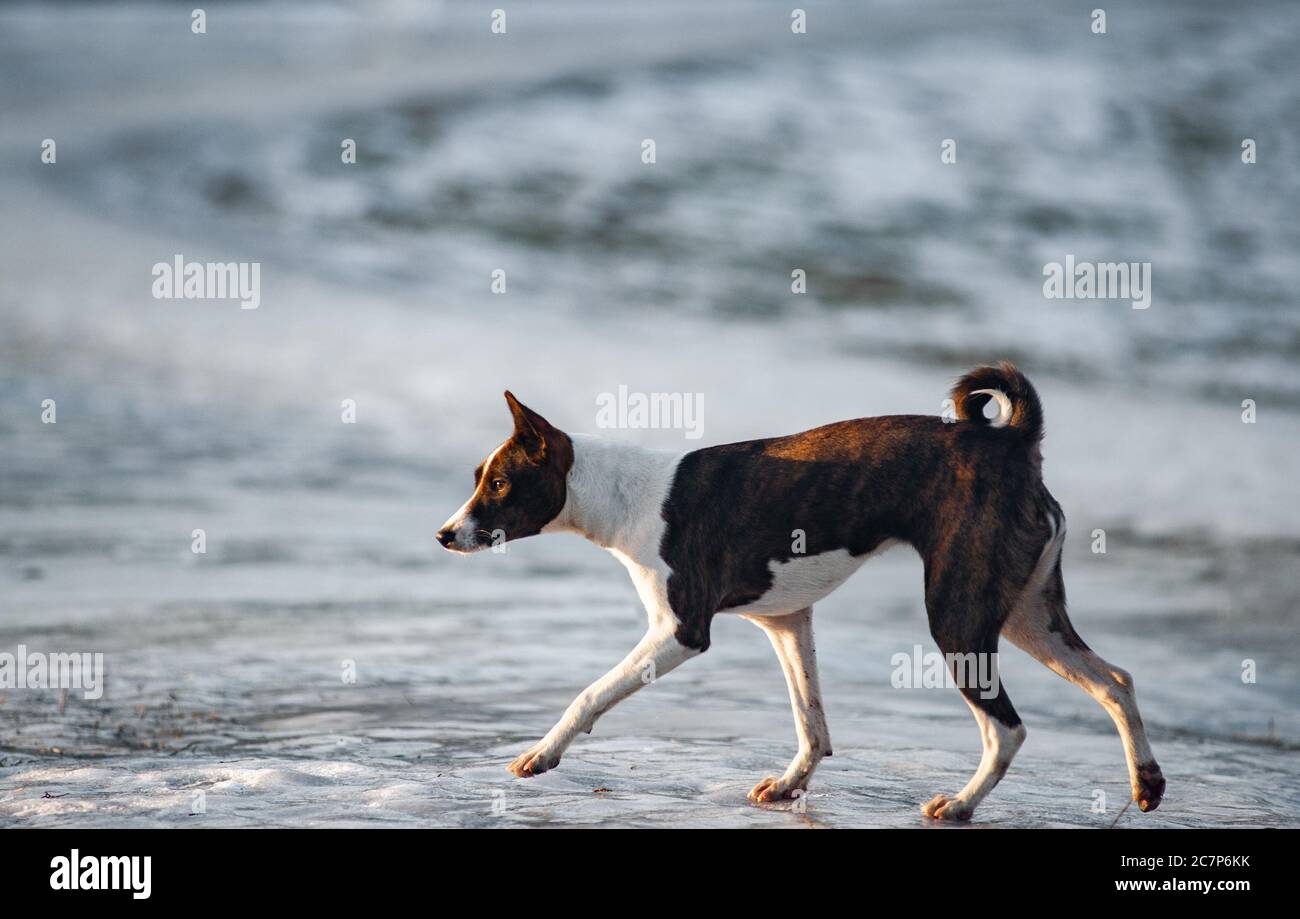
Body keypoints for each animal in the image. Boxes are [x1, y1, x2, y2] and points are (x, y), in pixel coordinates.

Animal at [436, 363, 1170, 821]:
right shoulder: (788, 621)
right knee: (1116, 681)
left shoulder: (680, 632)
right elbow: (811, 723)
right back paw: (1146, 782)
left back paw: (960, 805)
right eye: (479, 478)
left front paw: (542, 753)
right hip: (1027, 616)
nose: (445, 534)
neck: (627, 496)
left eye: (499, 483)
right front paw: (792, 785)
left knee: (1007, 729)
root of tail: (1012, 442)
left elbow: (589, 694)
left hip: (958, 620)